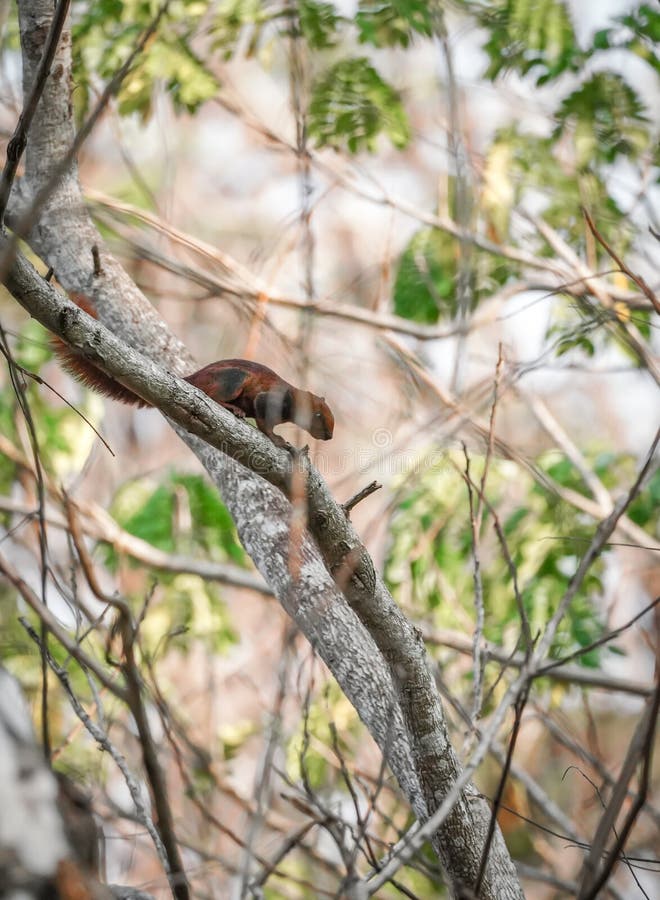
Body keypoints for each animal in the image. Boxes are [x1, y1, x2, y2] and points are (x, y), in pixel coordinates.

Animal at [54, 293, 335, 449]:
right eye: (319, 416)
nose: (330, 437)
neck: (292, 399)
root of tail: (192, 378)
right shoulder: (271, 399)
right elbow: (265, 423)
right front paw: (278, 441)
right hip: (233, 378)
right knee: (211, 395)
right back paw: (231, 408)